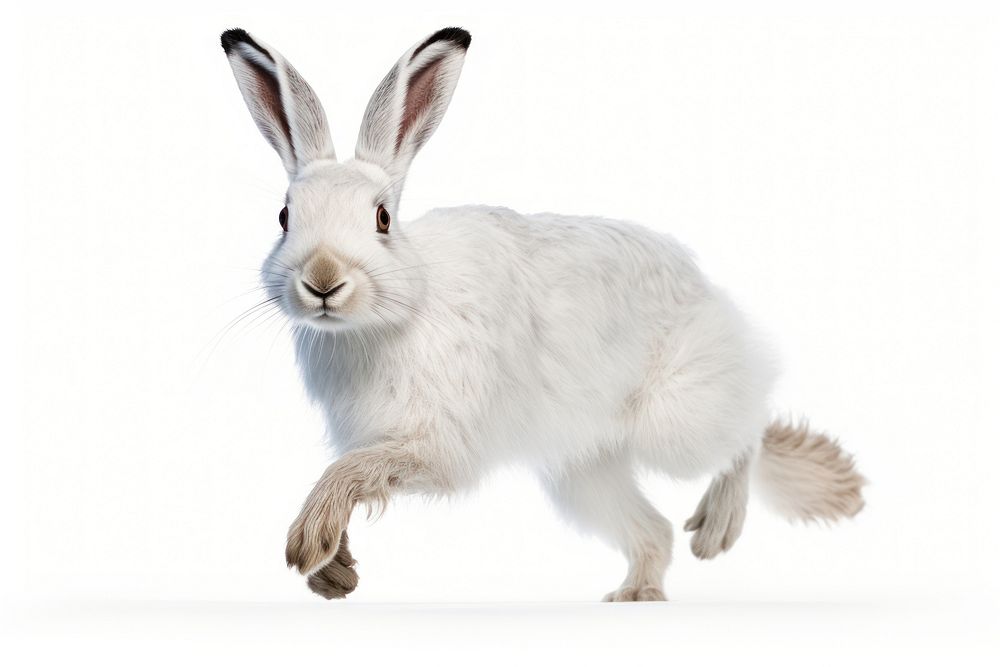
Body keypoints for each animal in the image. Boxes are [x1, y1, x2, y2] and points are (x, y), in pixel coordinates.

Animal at [220, 26, 865, 601]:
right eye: (285, 217)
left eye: (382, 219)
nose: (323, 280)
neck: (392, 316)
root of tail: (707, 296)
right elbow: (353, 473)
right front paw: (334, 573)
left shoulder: (435, 445)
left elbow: (353, 472)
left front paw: (310, 542)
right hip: (584, 471)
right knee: (654, 529)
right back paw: (636, 594)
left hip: (678, 418)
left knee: (748, 428)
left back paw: (717, 528)